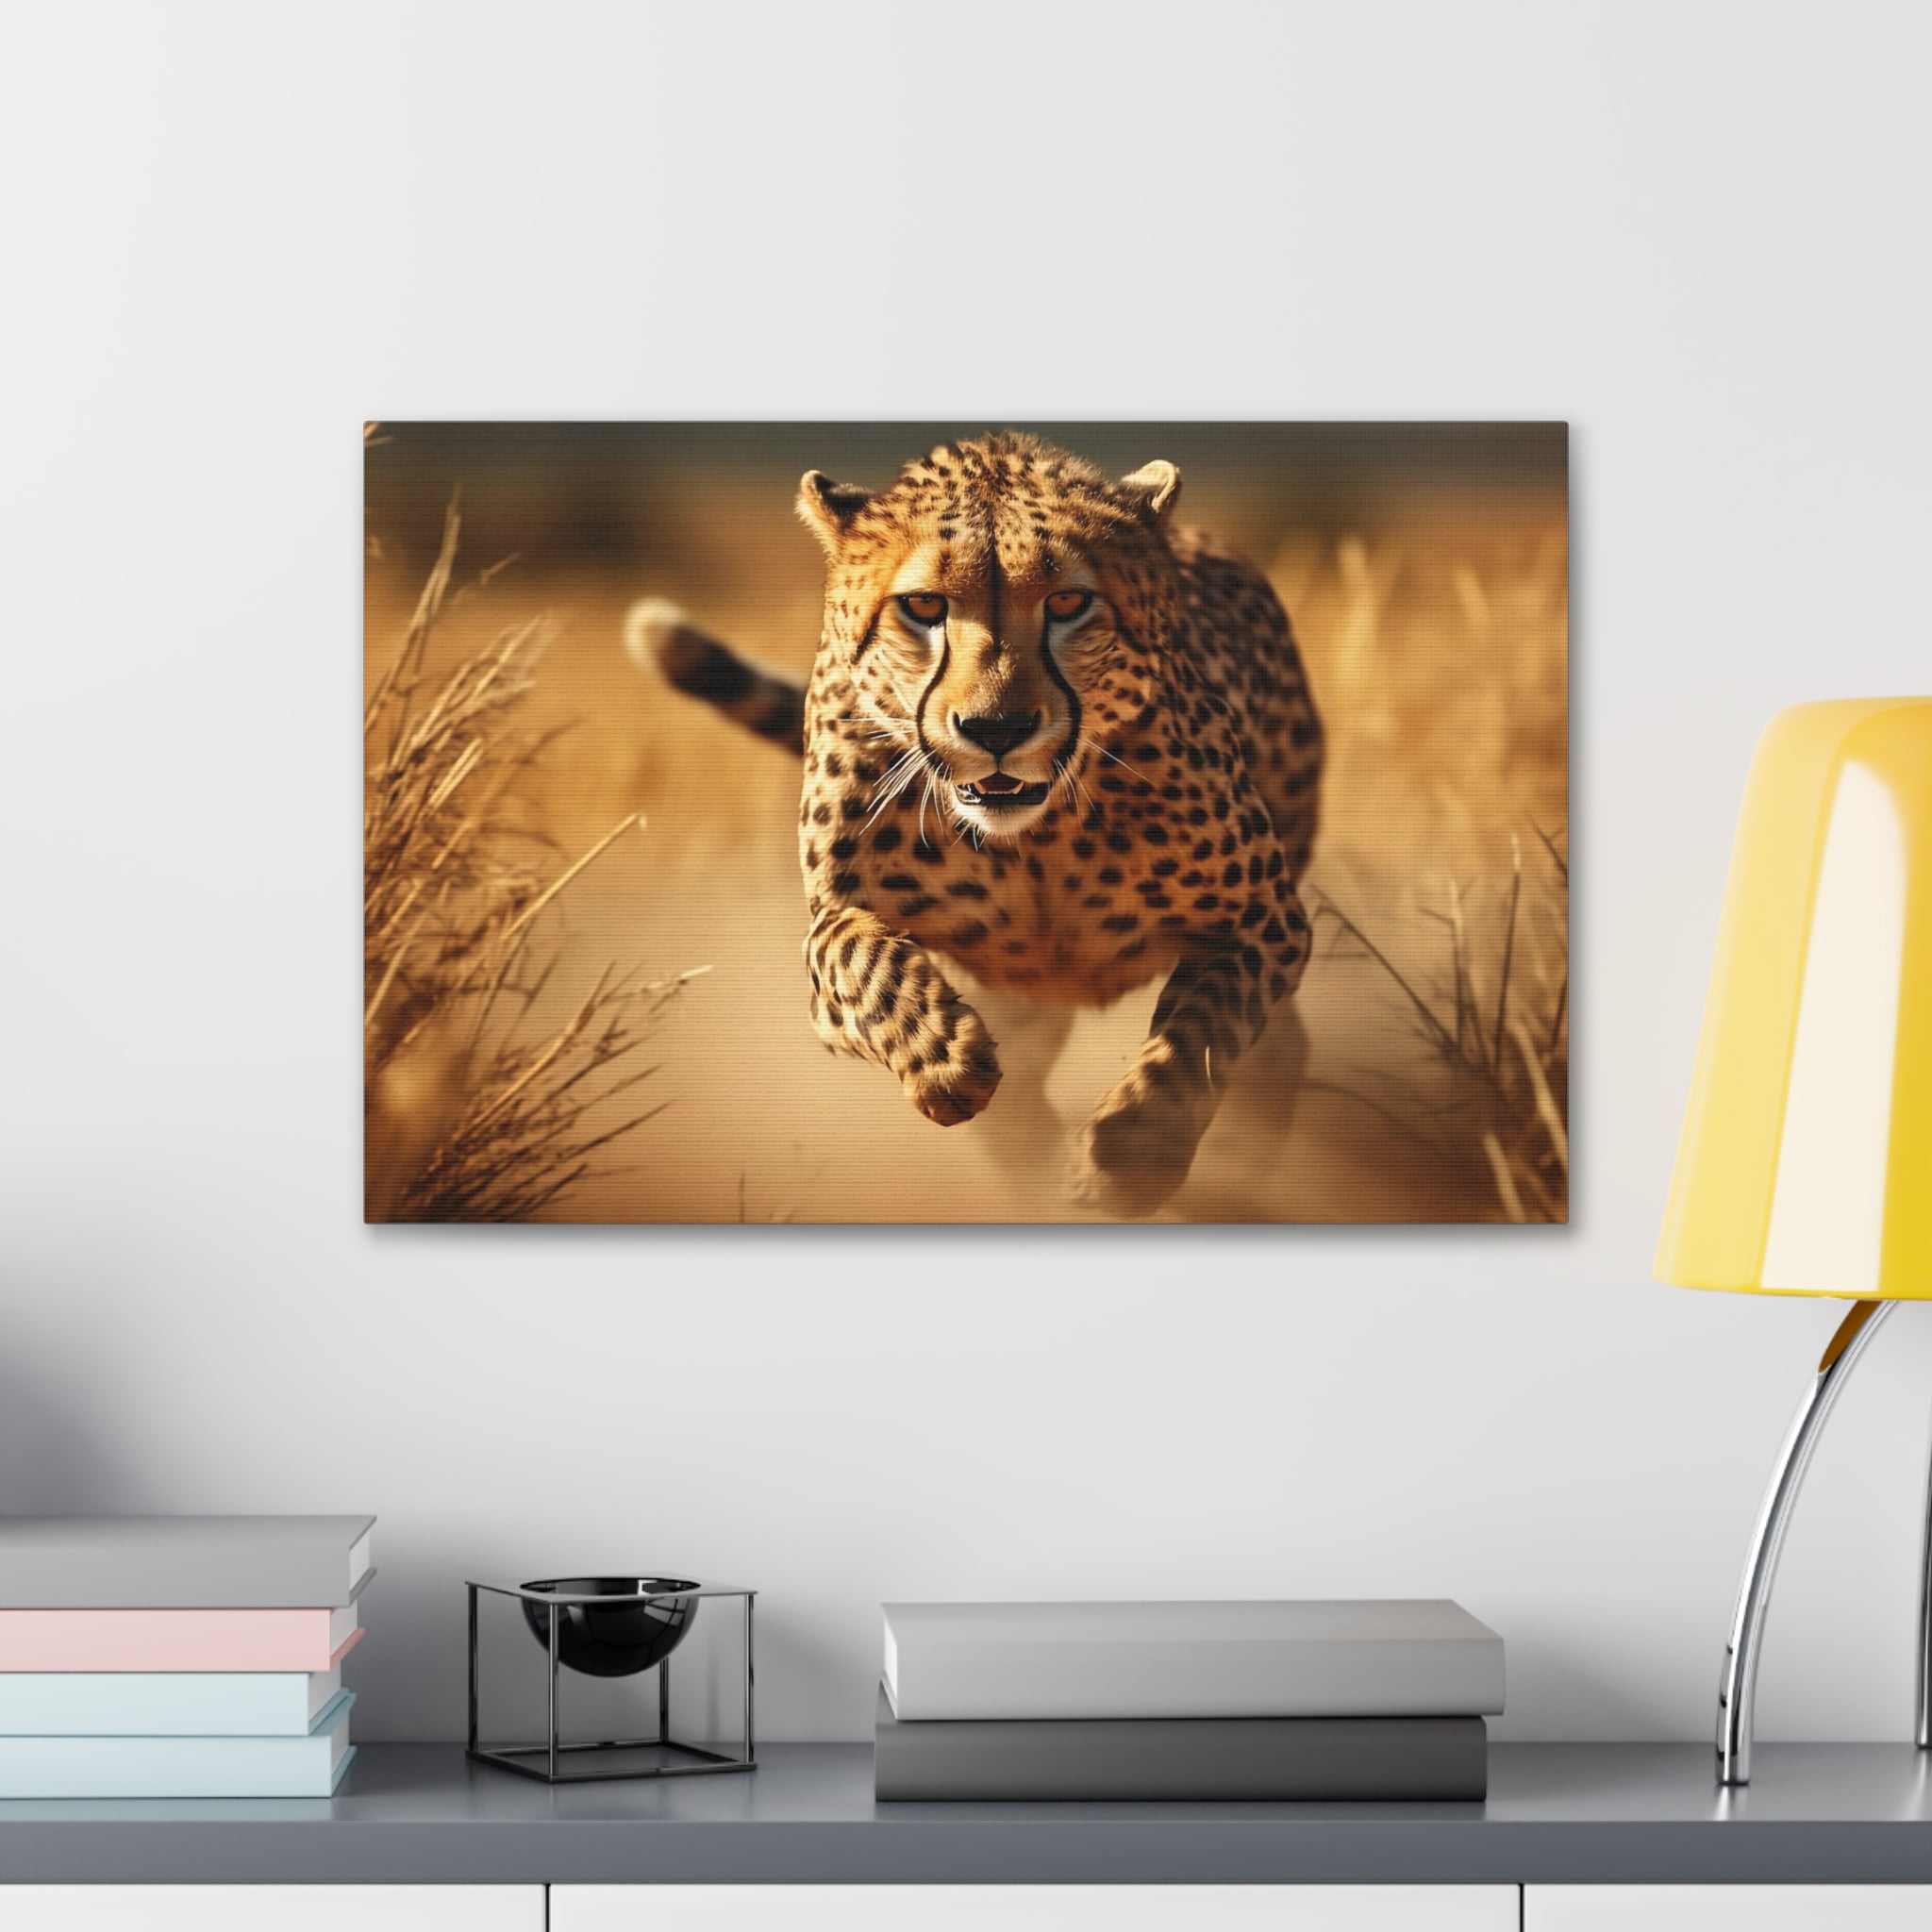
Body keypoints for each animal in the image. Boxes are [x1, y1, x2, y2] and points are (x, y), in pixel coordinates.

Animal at [628, 432, 1323, 1218]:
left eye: (1069, 602)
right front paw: (941, 1058)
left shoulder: (1263, 921)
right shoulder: (836, 937)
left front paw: (1130, 1156)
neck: (1037, 839)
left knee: (1281, 1052)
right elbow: (861, 959)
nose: (997, 729)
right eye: (925, 605)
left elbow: (1204, 1028)